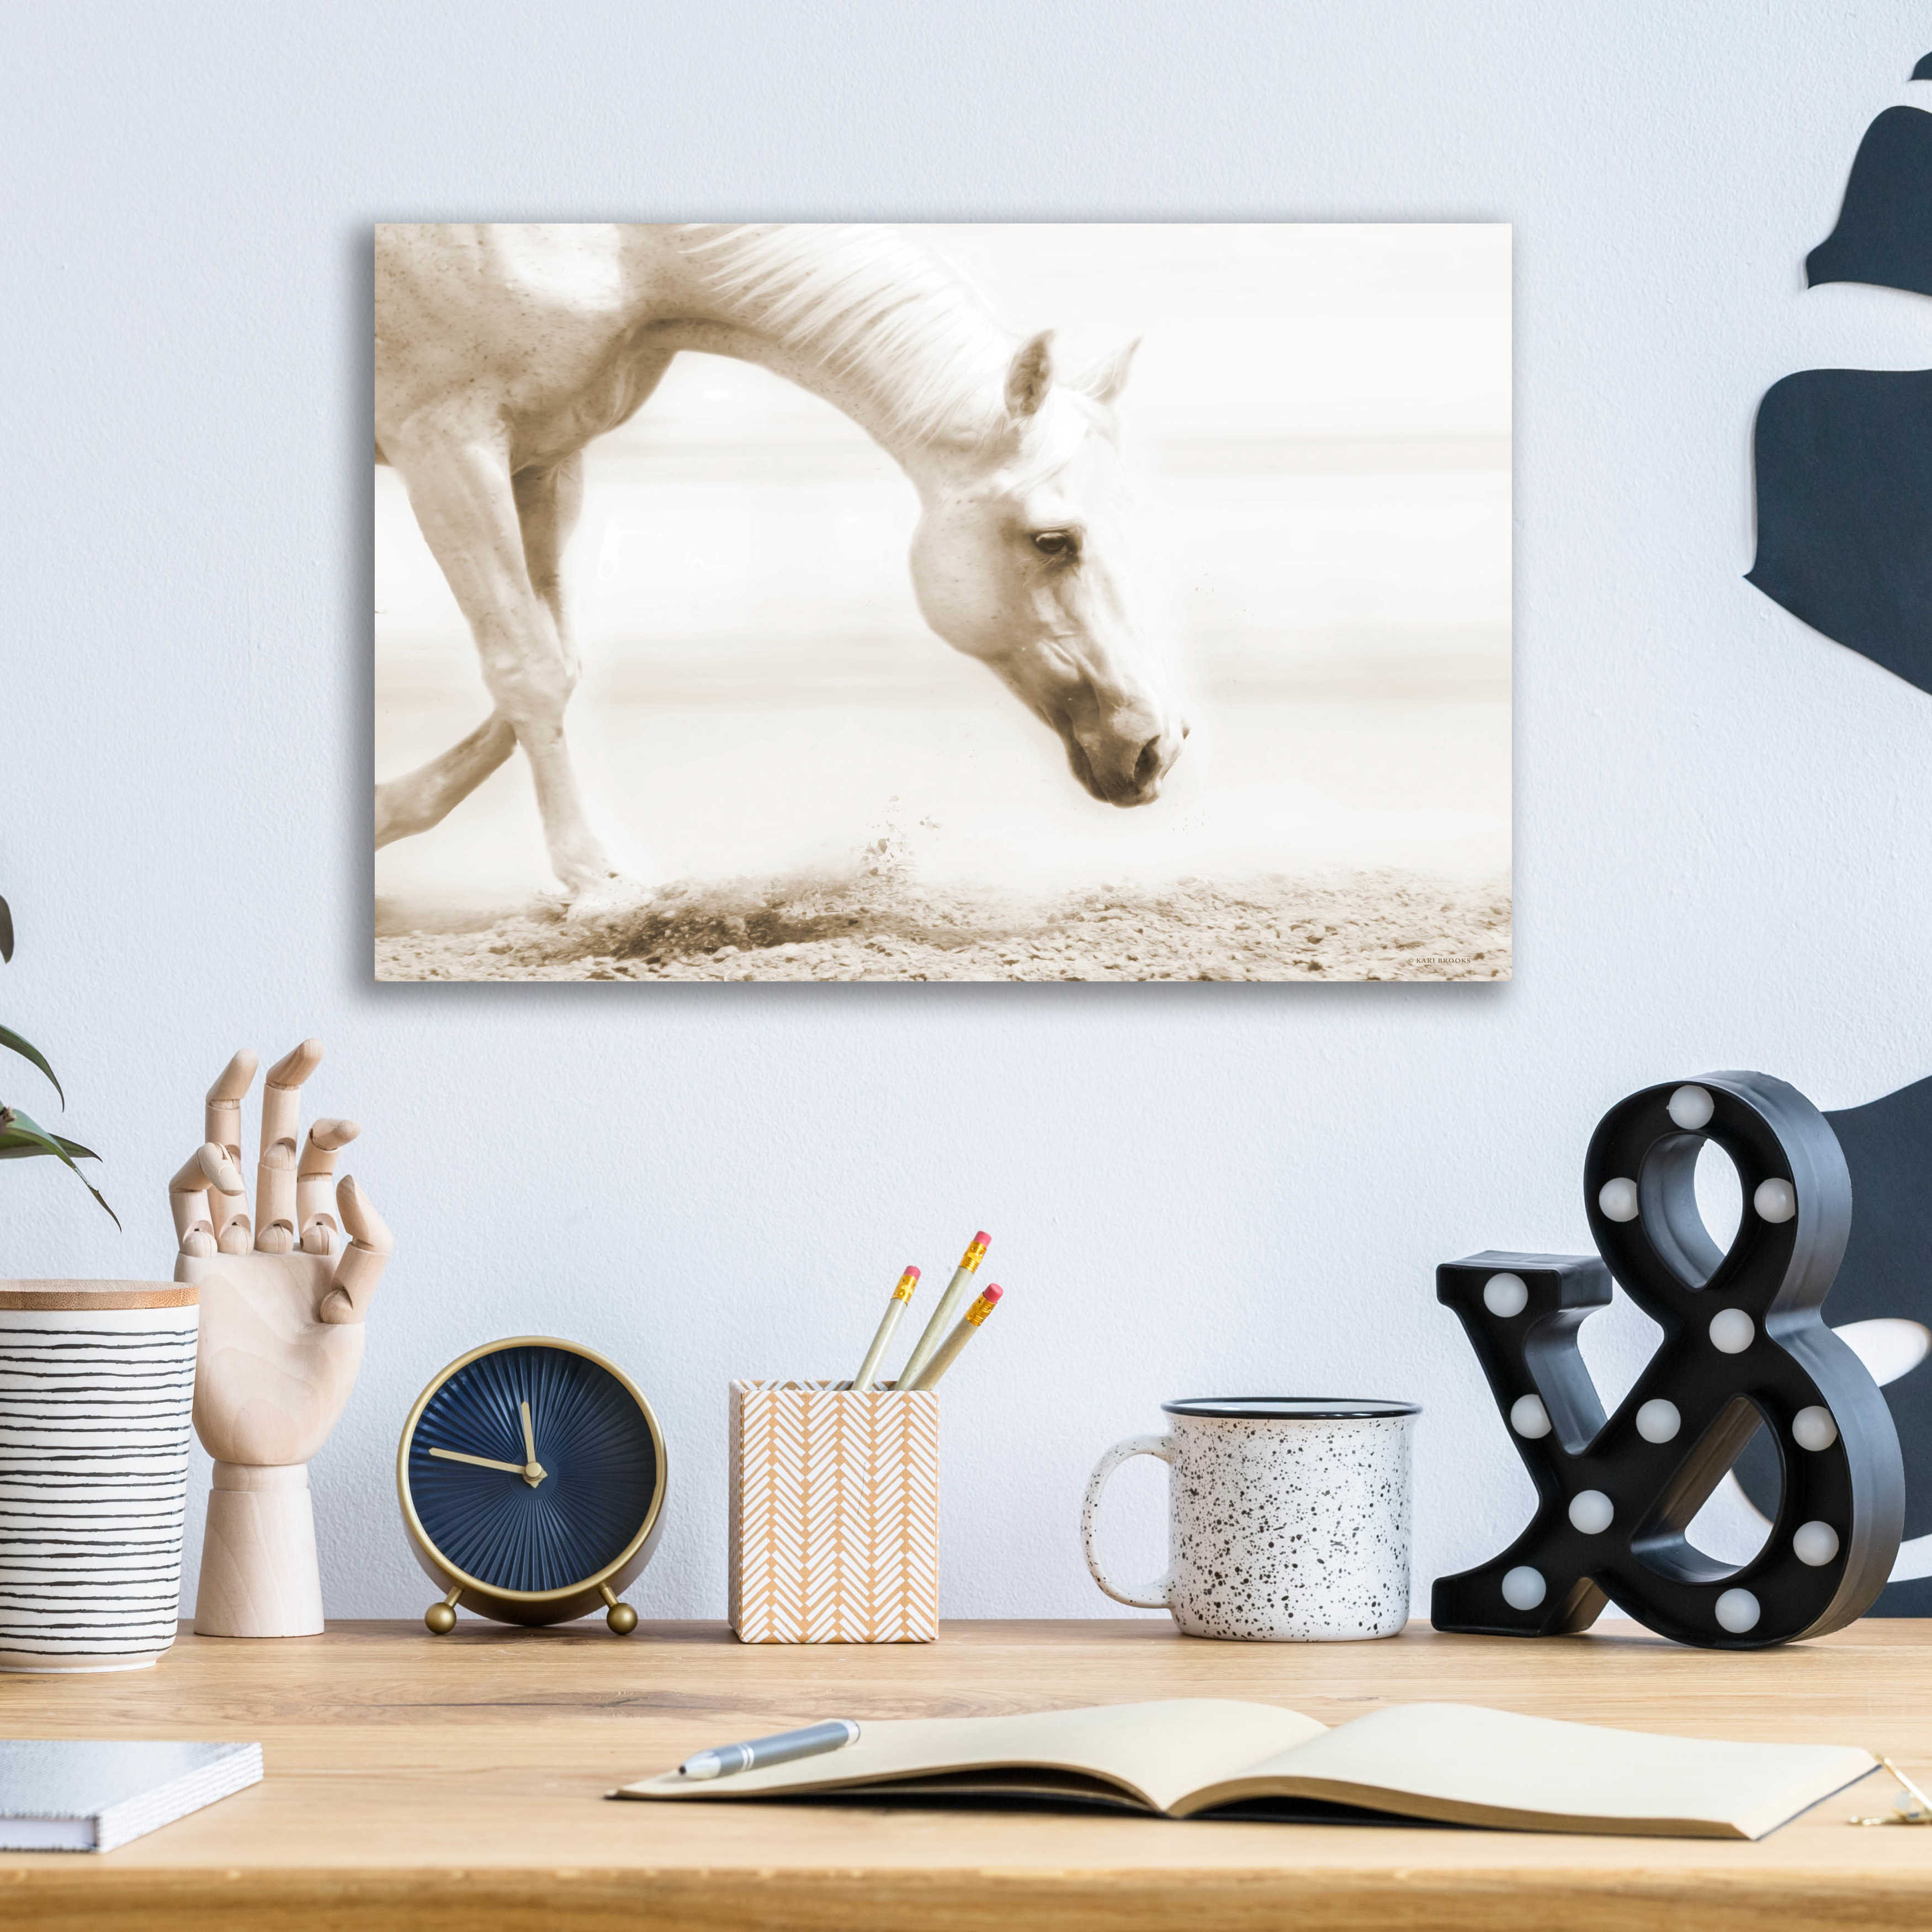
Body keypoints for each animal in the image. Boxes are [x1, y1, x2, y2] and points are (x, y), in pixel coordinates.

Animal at [373, 223, 1187, 902]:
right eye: (1053, 541)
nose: (1155, 748)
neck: (624, 252)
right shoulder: (447, 446)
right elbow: (527, 670)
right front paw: (596, 881)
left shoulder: (544, 460)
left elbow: (557, 663)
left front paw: (383, 811)